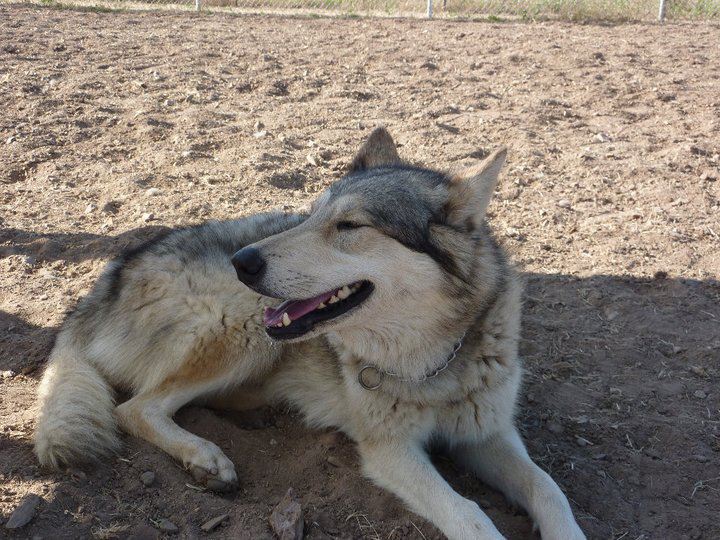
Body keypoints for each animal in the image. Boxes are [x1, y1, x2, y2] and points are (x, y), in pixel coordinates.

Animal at [35, 128, 585, 539]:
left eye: (348, 226)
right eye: (313, 214)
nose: (242, 262)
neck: (435, 364)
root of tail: (105, 281)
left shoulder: (486, 433)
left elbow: (549, 490)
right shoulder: (390, 451)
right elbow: (470, 512)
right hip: (243, 331)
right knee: (136, 408)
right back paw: (207, 458)